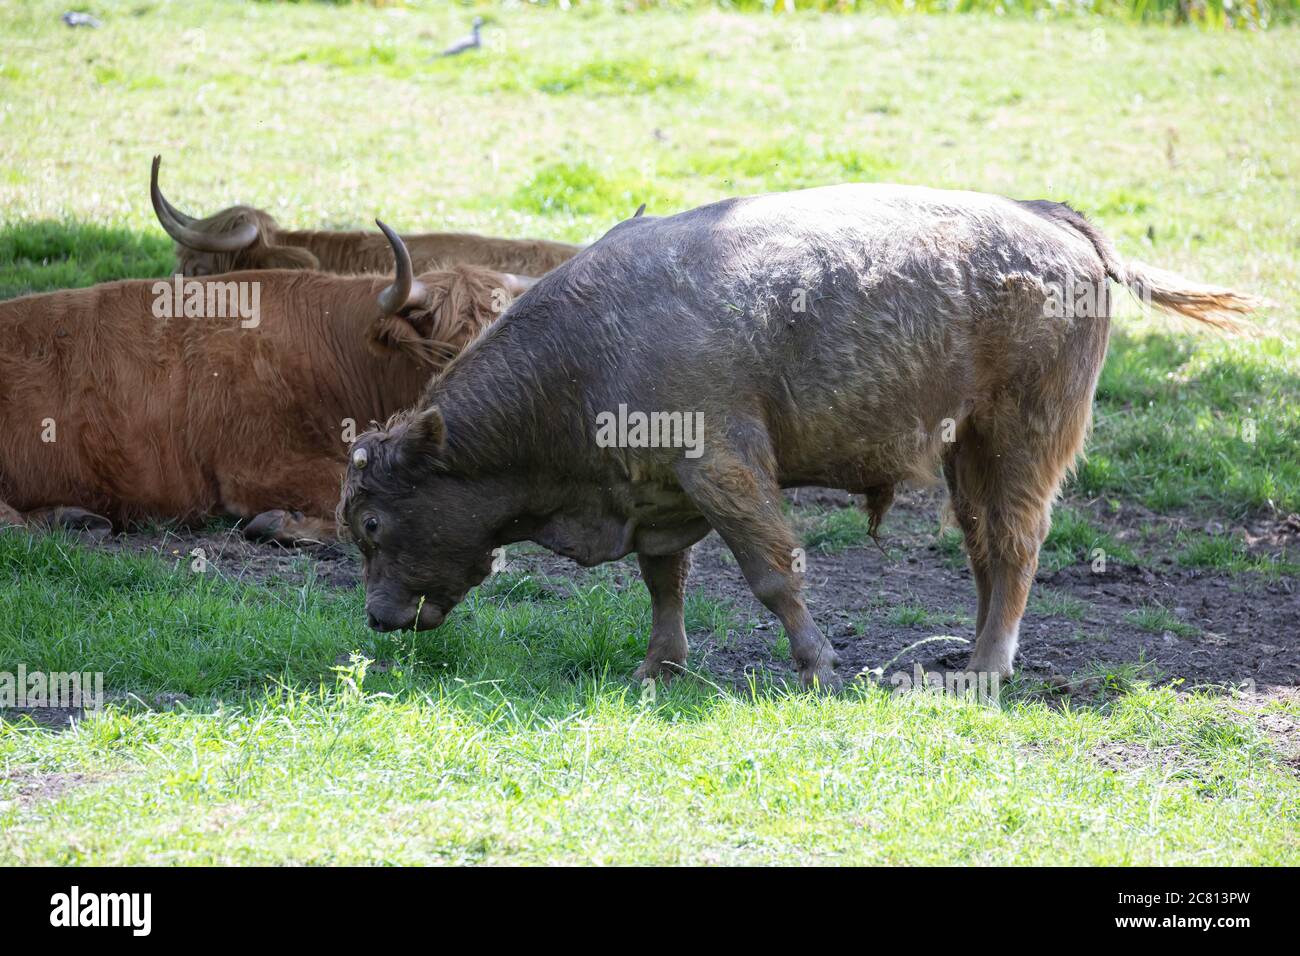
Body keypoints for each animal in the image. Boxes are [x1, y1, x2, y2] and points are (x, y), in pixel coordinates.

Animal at [338, 183, 1257, 688]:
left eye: (374, 521)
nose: (379, 618)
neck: (587, 351)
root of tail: (1053, 219)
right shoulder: (658, 494)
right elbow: (663, 581)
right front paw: (657, 668)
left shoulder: (725, 472)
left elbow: (773, 574)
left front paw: (817, 667)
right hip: (966, 452)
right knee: (984, 544)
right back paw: (967, 656)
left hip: (1019, 438)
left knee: (1017, 539)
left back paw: (990, 665)